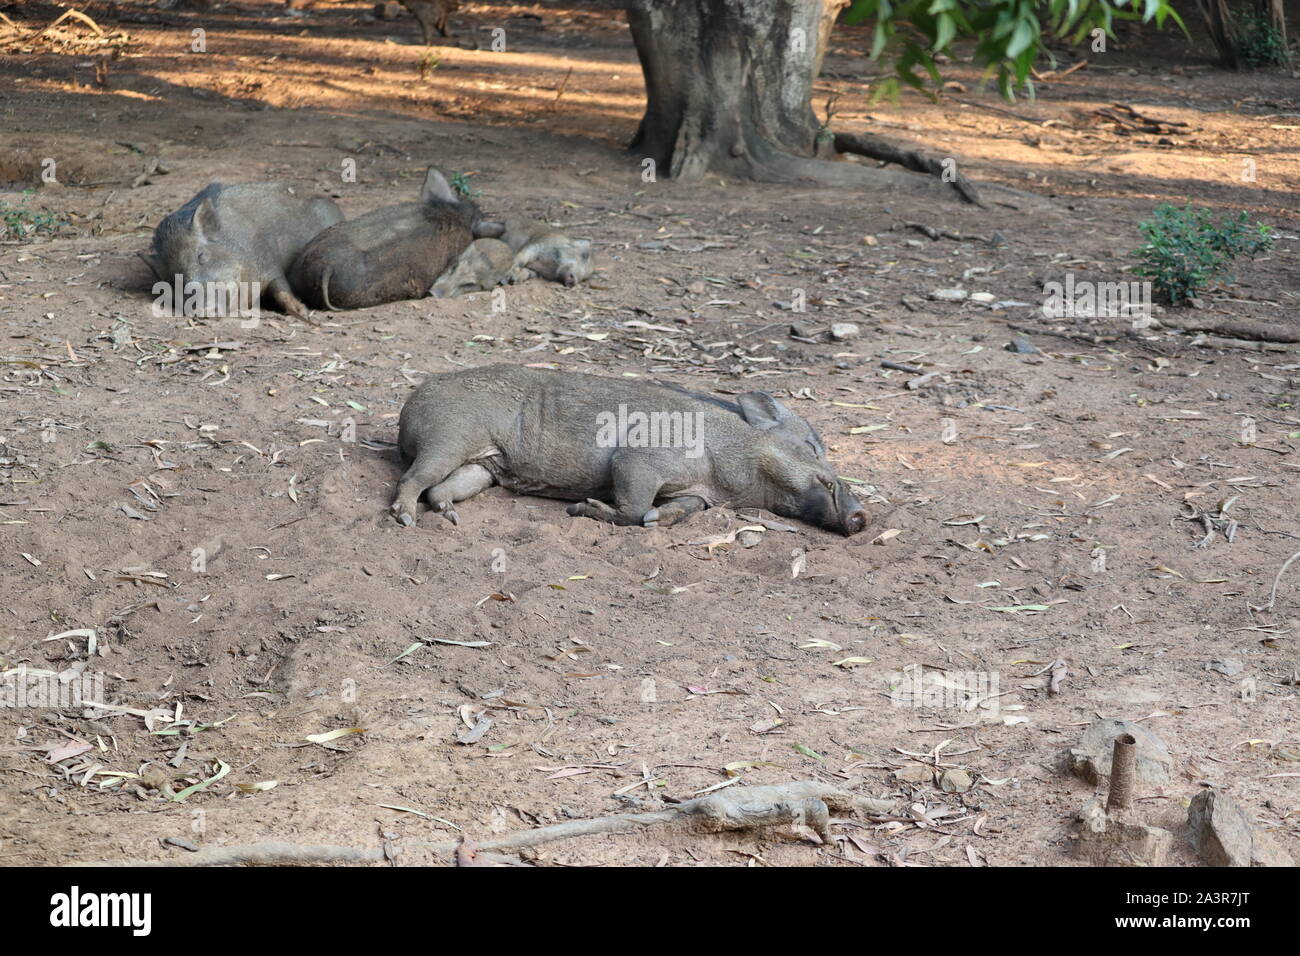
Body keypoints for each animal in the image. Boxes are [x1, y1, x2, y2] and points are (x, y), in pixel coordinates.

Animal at [141, 182, 342, 318]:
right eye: (171, 279)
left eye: (201, 256)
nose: (203, 310)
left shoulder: (269, 262)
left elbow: (281, 287)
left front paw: (303, 313)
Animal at [391, 364, 868, 536]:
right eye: (812, 446)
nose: (862, 515)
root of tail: (407, 407)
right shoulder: (636, 460)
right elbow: (634, 509)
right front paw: (581, 509)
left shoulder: (696, 493)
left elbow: (676, 510)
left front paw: (662, 518)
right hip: (449, 437)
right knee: (412, 479)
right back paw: (405, 520)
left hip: (484, 468)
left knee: (440, 490)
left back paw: (450, 517)